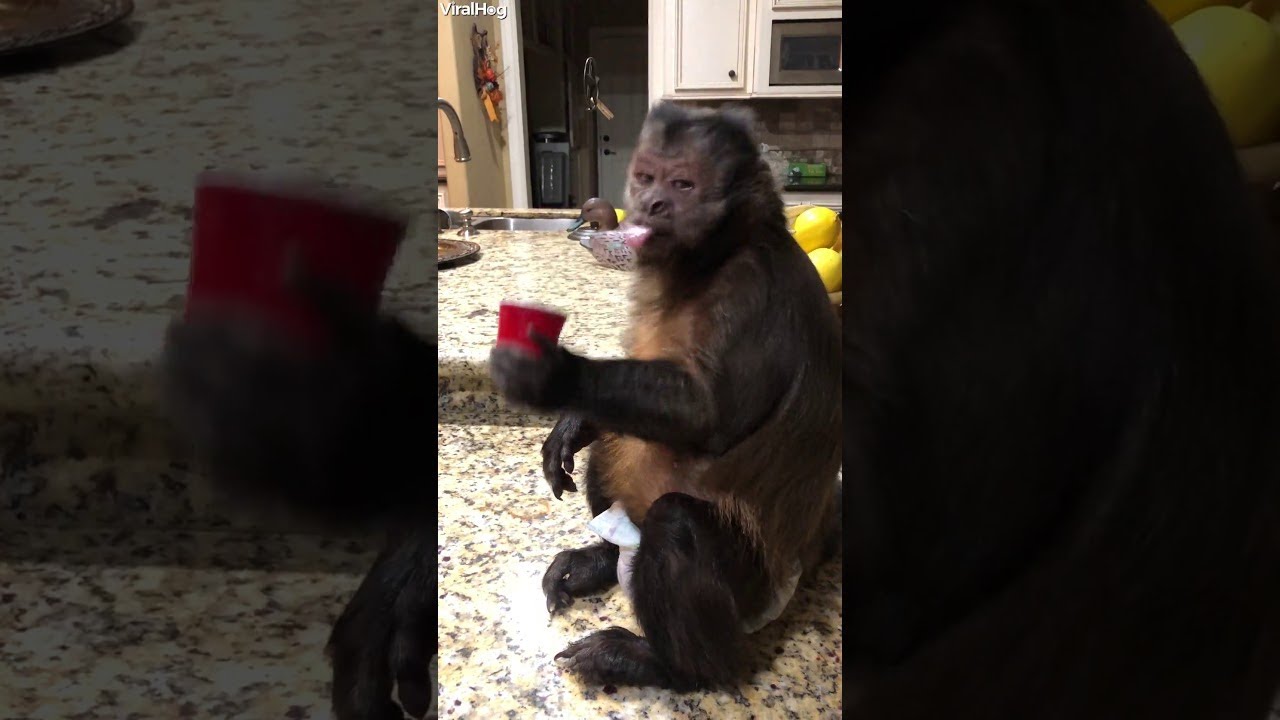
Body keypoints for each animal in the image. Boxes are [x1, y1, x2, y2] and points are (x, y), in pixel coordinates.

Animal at [488, 102, 843, 690]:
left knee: (675, 522)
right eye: (647, 177)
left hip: (753, 587)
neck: (703, 265)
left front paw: (554, 373)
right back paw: (601, 561)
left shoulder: (750, 291)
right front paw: (572, 423)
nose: (652, 204)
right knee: (618, 451)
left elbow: (706, 418)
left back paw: (669, 665)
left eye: (683, 184)